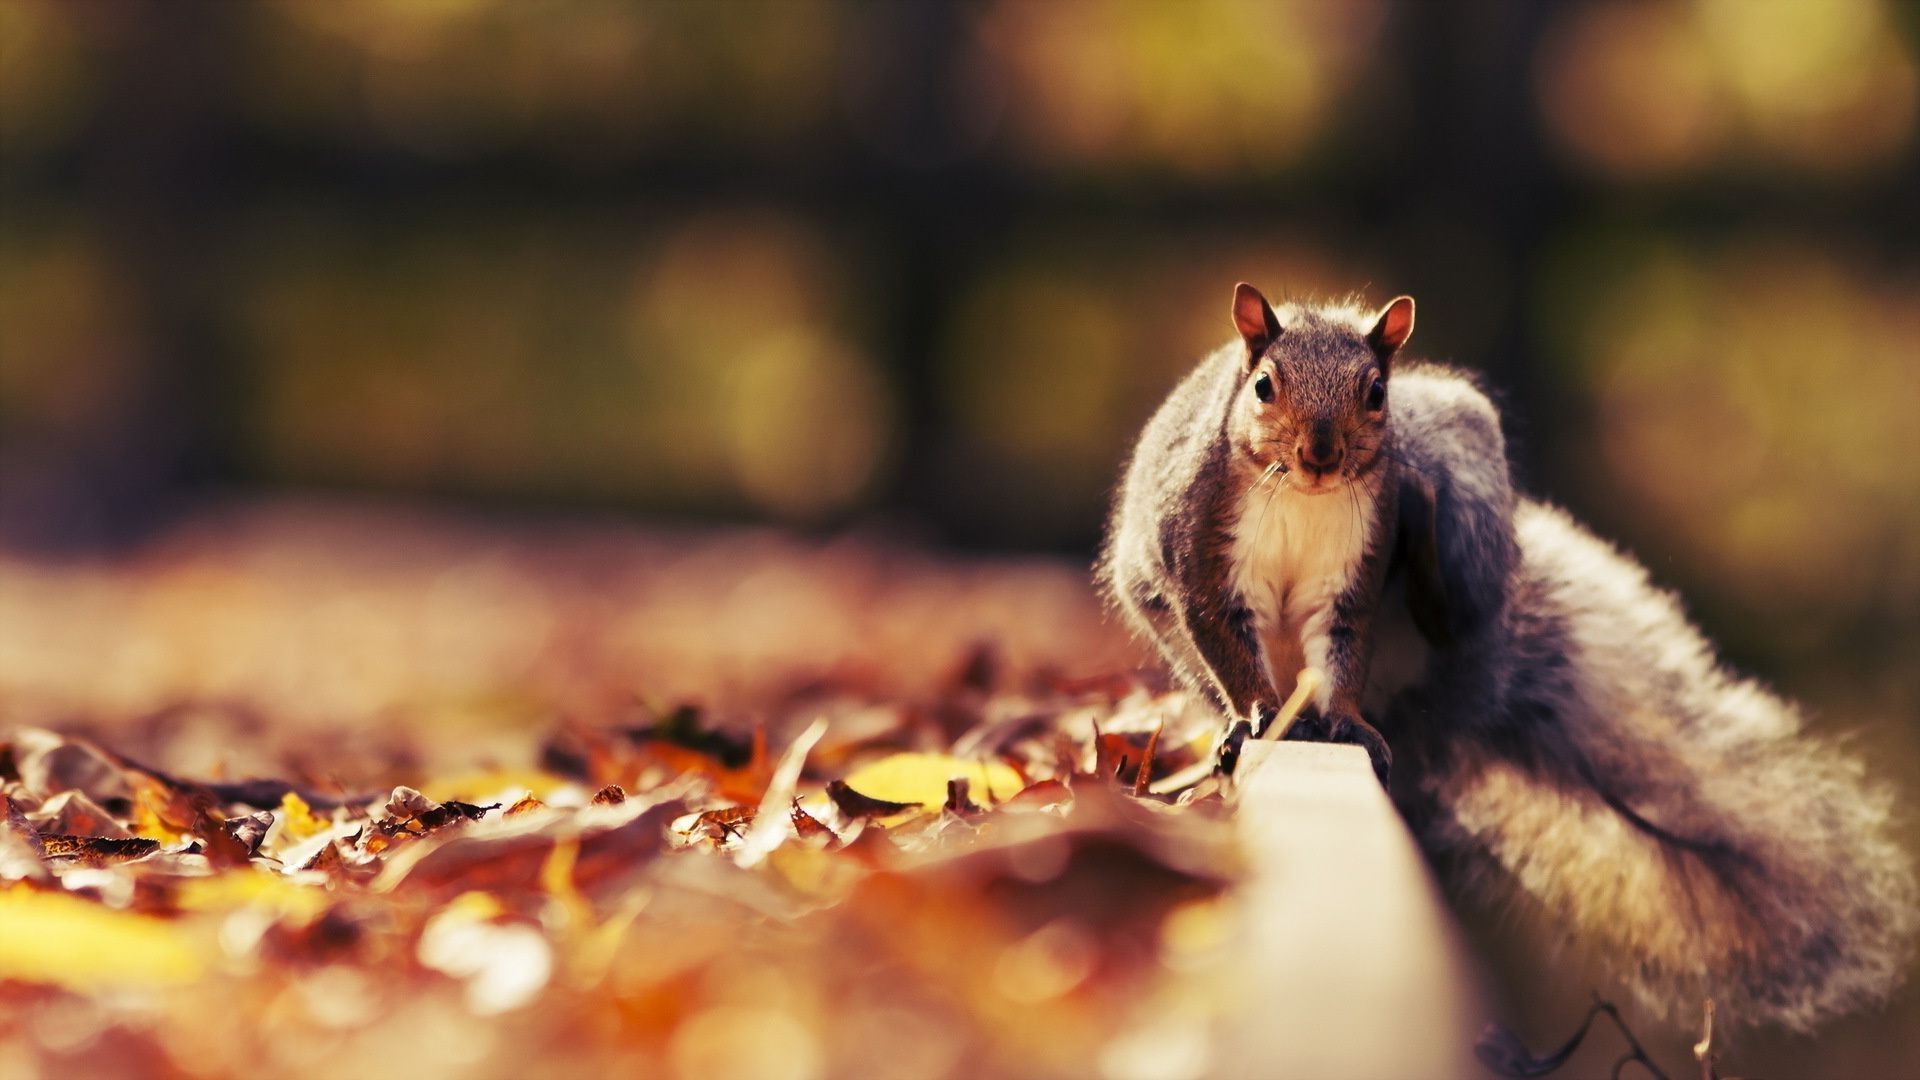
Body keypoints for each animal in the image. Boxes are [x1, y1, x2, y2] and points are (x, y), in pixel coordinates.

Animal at [1099, 282, 1917, 1033]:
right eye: (1265, 386)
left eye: (1376, 393)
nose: (1322, 454)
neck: (1304, 496)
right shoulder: (1202, 553)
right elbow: (1223, 638)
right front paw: (1259, 716)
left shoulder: (1351, 582)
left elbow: (1342, 656)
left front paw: (1348, 722)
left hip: (1469, 515)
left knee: (1441, 604)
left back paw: (1422, 542)